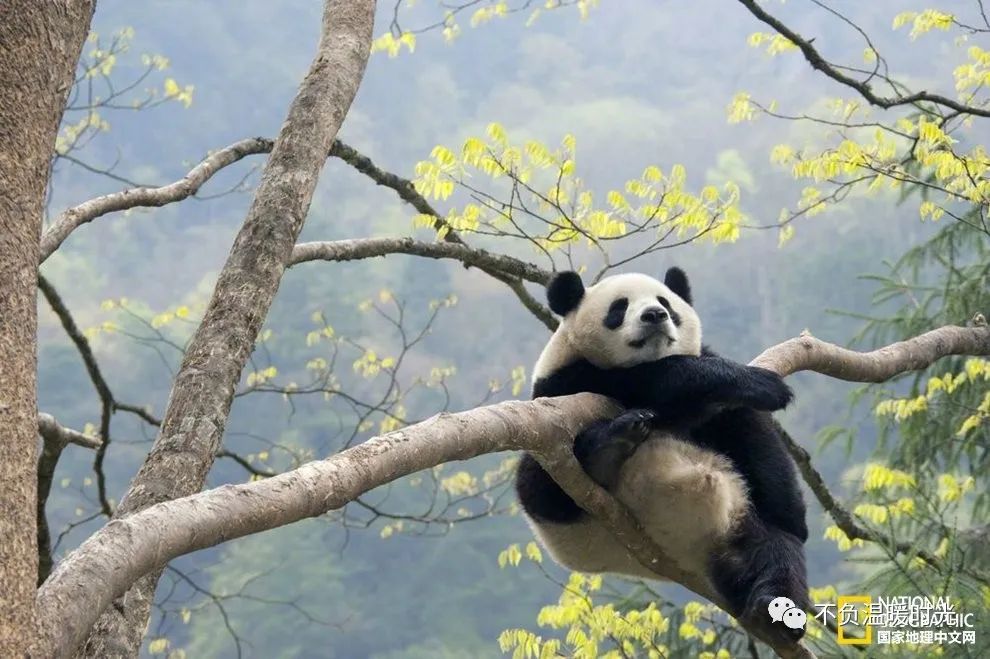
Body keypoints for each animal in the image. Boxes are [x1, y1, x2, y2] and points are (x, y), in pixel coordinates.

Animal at [515, 268, 809, 644]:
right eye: (619, 308)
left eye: (666, 302)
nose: (654, 315)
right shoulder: (566, 379)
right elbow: (652, 381)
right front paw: (760, 383)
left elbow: (758, 445)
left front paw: (791, 514)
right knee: (537, 482)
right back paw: (608, 447)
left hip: (741, 527)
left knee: (778, 556)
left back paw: (772, 612)